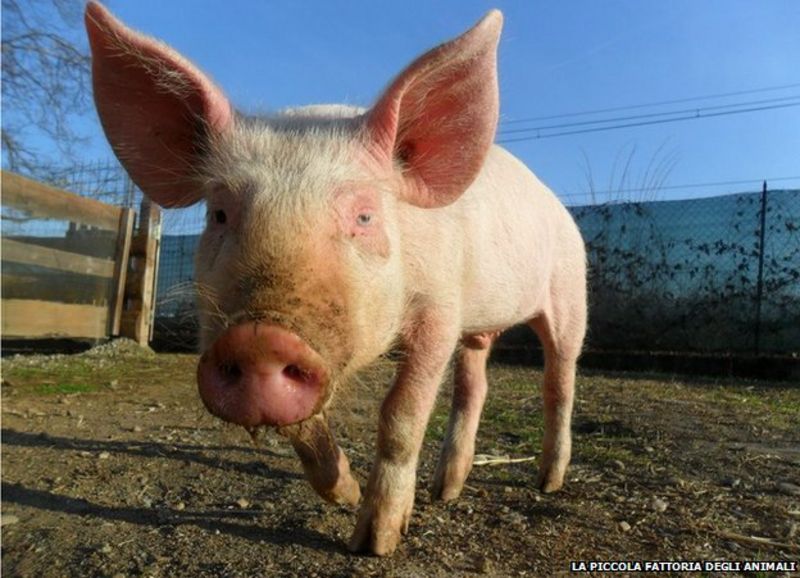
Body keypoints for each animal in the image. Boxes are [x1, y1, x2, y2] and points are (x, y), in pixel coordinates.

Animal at [86, 1, 587, 556]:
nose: (258, 337)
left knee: (559, 381)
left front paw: (375, 541)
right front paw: (346, 494)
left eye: (364, 217)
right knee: (474, 384)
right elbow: (303, 429)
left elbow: (401, 415)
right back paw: (445, 490)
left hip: (570, 293)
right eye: (219, 214)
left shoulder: (441, 308)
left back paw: (548, 482)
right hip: (481, 327)